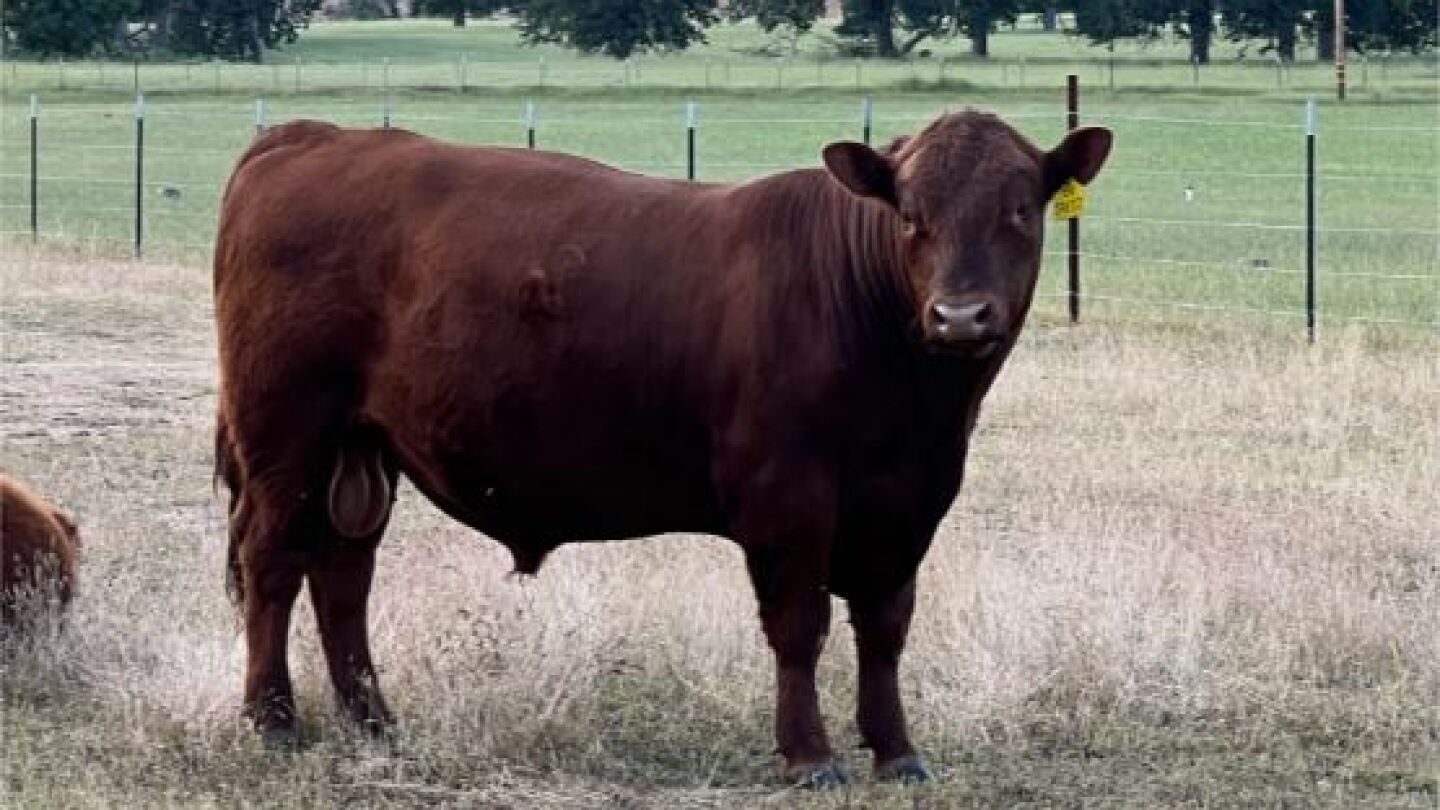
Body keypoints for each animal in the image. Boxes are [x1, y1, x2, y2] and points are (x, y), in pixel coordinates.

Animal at [213, 110, 1111, 785]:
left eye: (1019, 211)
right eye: (910, 215)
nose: (960, 315)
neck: (912, 401)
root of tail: (315, 136)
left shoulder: (910, 503)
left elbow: (885, 627)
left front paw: (897, 752)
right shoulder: (787, 497)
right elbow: (800, 625)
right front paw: (810, 756)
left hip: (360, 449)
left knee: (342, 575)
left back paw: (373, 720)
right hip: (286, 436)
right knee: (274, 564)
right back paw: (273, 719)